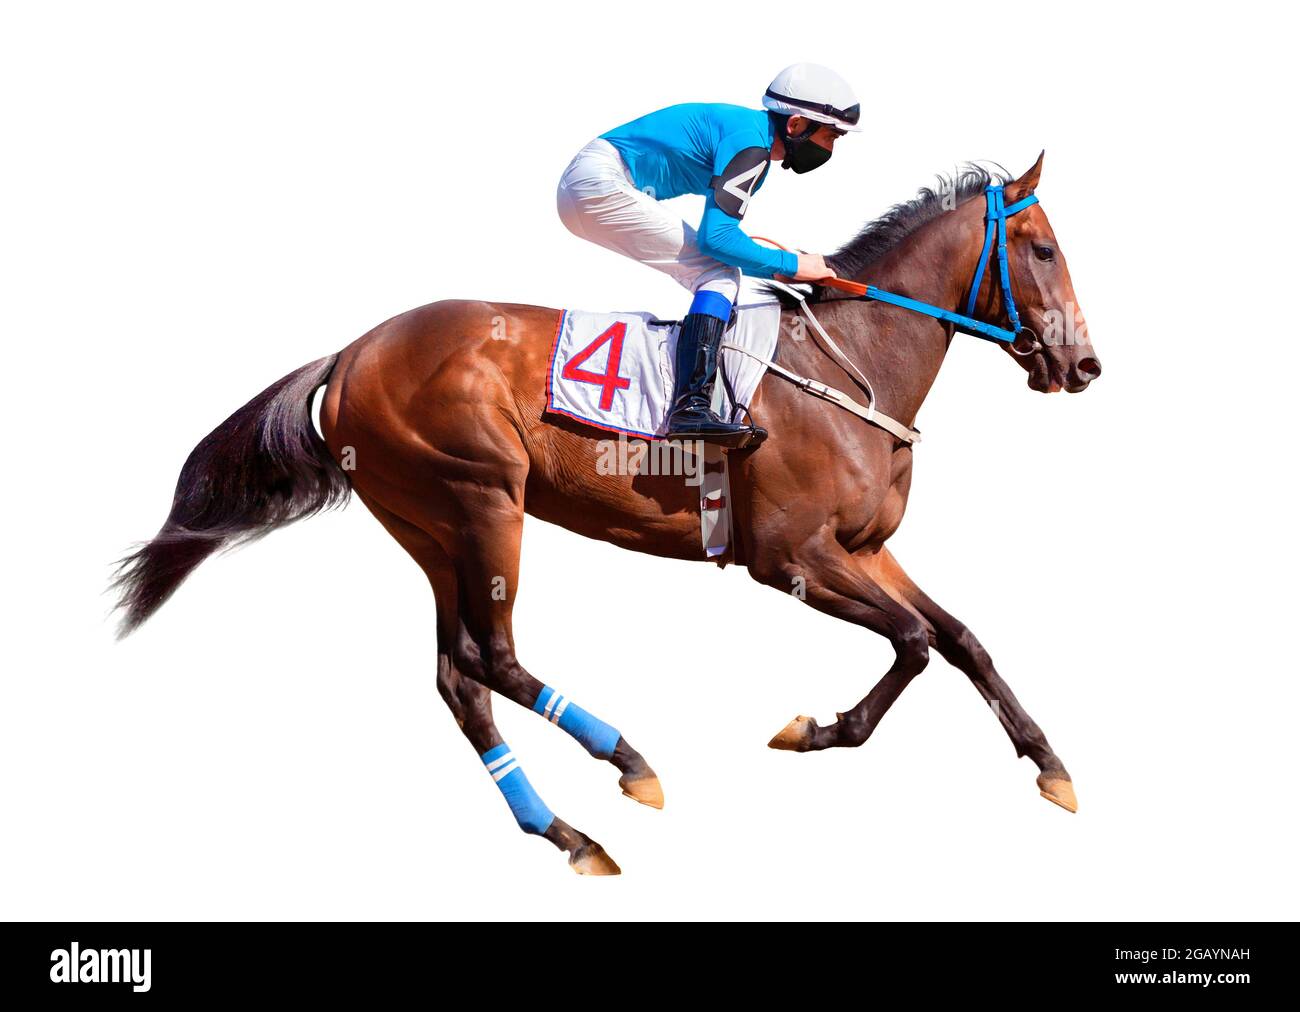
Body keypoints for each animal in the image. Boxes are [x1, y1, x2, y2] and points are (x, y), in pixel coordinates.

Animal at [112, 153, 1101, 875]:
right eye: (1044, 251)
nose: (1085, 365)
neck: (854, 362)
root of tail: (353, 350)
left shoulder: (864, 548)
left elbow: (962, 638)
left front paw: (1053, 768)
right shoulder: (789, 558)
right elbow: (915, 642)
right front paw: (816, 730)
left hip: (428, 526)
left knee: (458, 678)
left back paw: (567, 835)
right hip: (482, 501)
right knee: (495, 658)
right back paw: (629, 762)